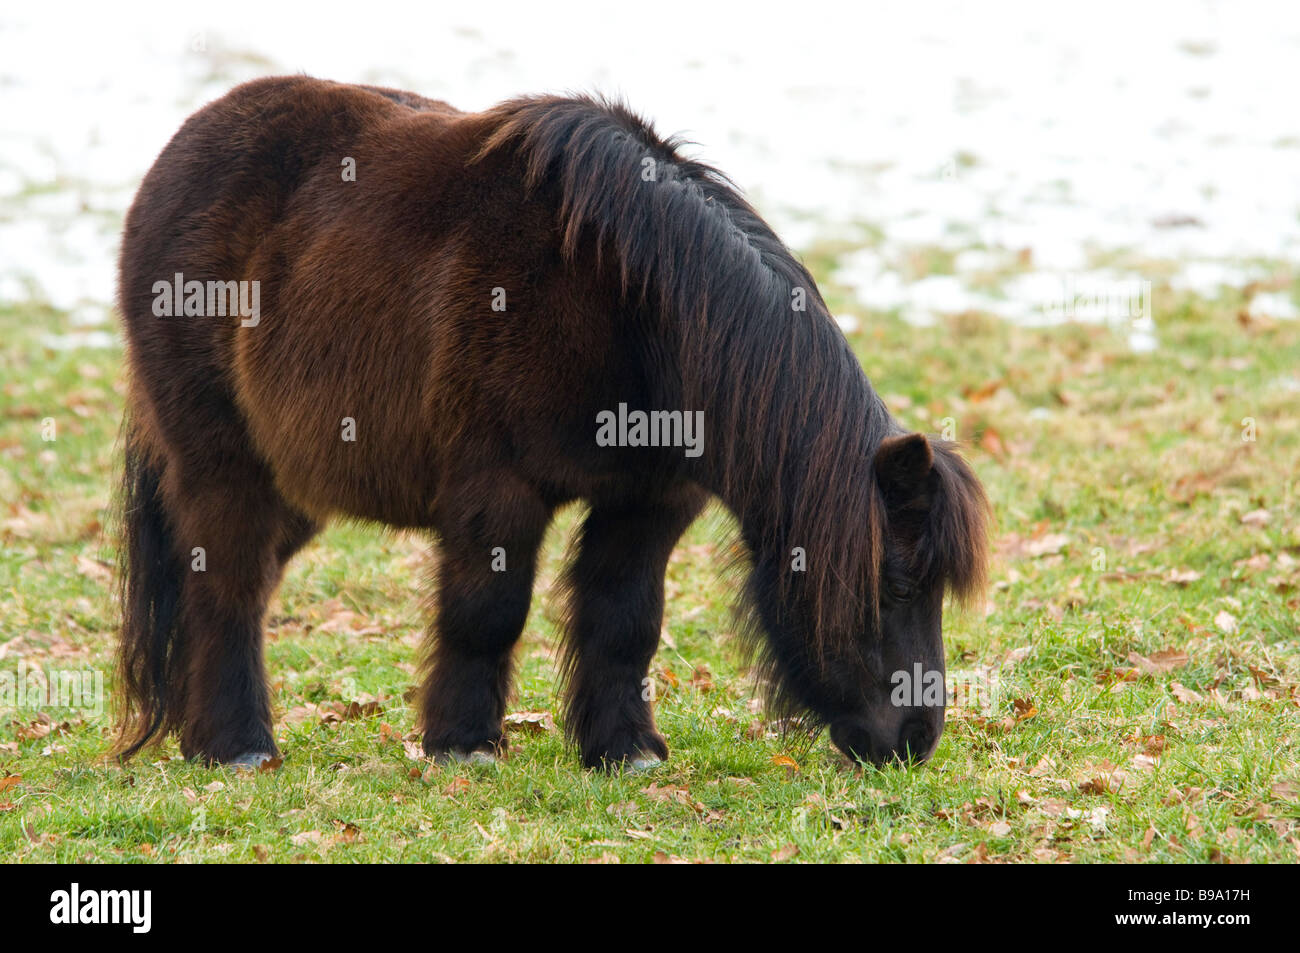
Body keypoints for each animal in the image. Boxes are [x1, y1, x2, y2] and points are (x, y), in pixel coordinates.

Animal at [114, 76, 989, 772]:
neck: (630, 301)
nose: (915, 739)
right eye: (896, 583)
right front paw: (463, 744)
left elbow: (624, 621)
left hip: (296, 483)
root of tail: (175, 158)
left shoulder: (648, 504)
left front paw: (624, 751)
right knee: (227, 583)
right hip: (221, 463)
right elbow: (488, 614)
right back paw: (237, 746)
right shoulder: (497, 492)